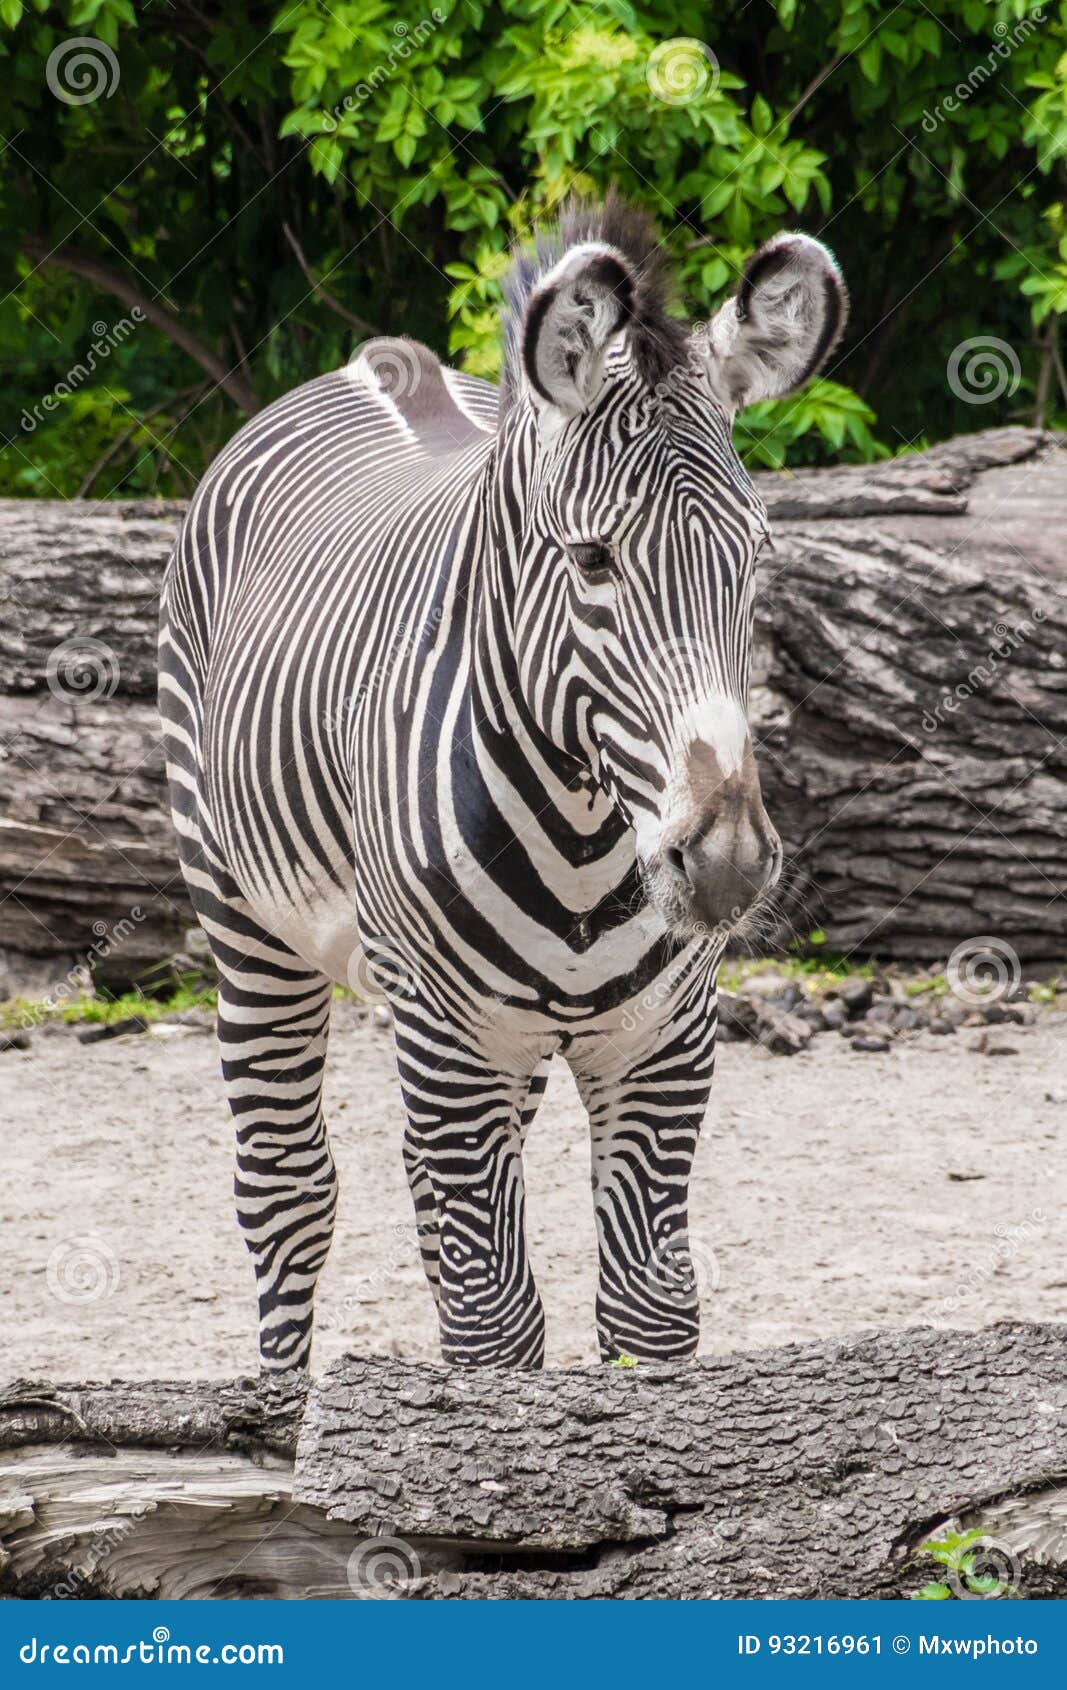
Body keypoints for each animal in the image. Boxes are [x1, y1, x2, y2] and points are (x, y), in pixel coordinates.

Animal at [159, 194, 846, 1372]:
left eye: (755, 559)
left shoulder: (663, 1040)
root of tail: (387, 369)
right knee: (286, 1194)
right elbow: (495, 1328)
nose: (721, 864)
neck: (581, 838)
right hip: (244, 918)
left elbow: (644, 1308)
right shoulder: (447, 1038)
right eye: (592, 562)